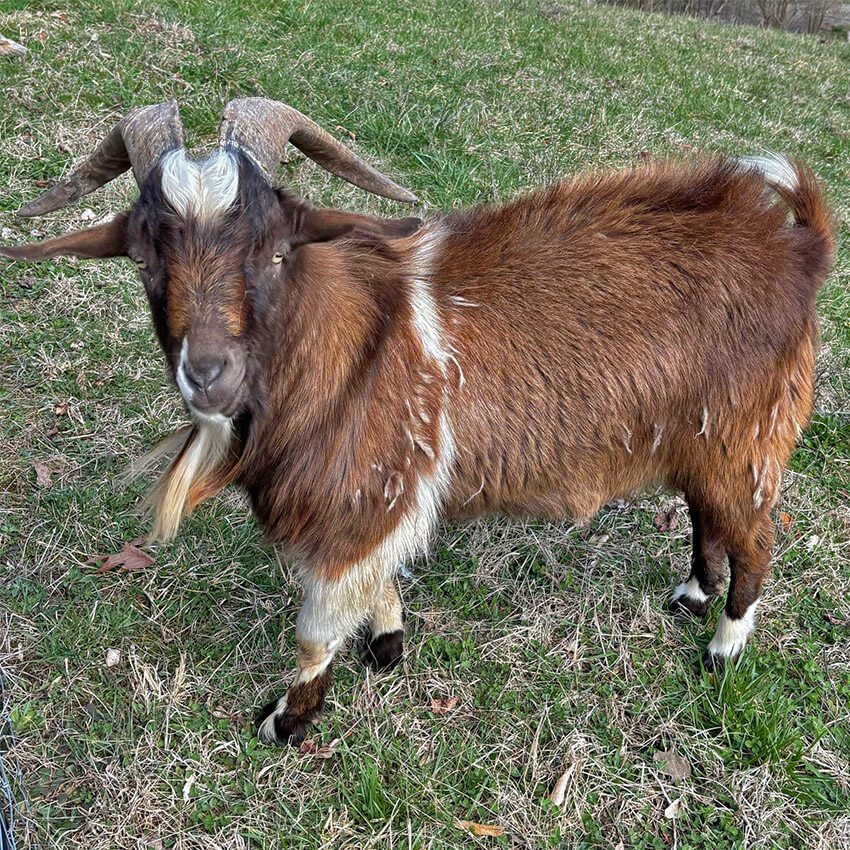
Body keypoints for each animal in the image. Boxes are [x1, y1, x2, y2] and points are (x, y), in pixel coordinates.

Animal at [1, 98, 834, 746]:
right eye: (144, 257)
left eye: (274, 251)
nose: (208, 374)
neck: (339, 343)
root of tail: (797, 246)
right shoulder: (375, 498)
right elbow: (375, 585)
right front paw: (387, 643)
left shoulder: (360, 494)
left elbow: (315, 625)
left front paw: (287, 721)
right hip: (700, 438)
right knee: (706, 517)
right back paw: (692, 594)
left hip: (748, 436)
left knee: (756, 537)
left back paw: (724, 645)